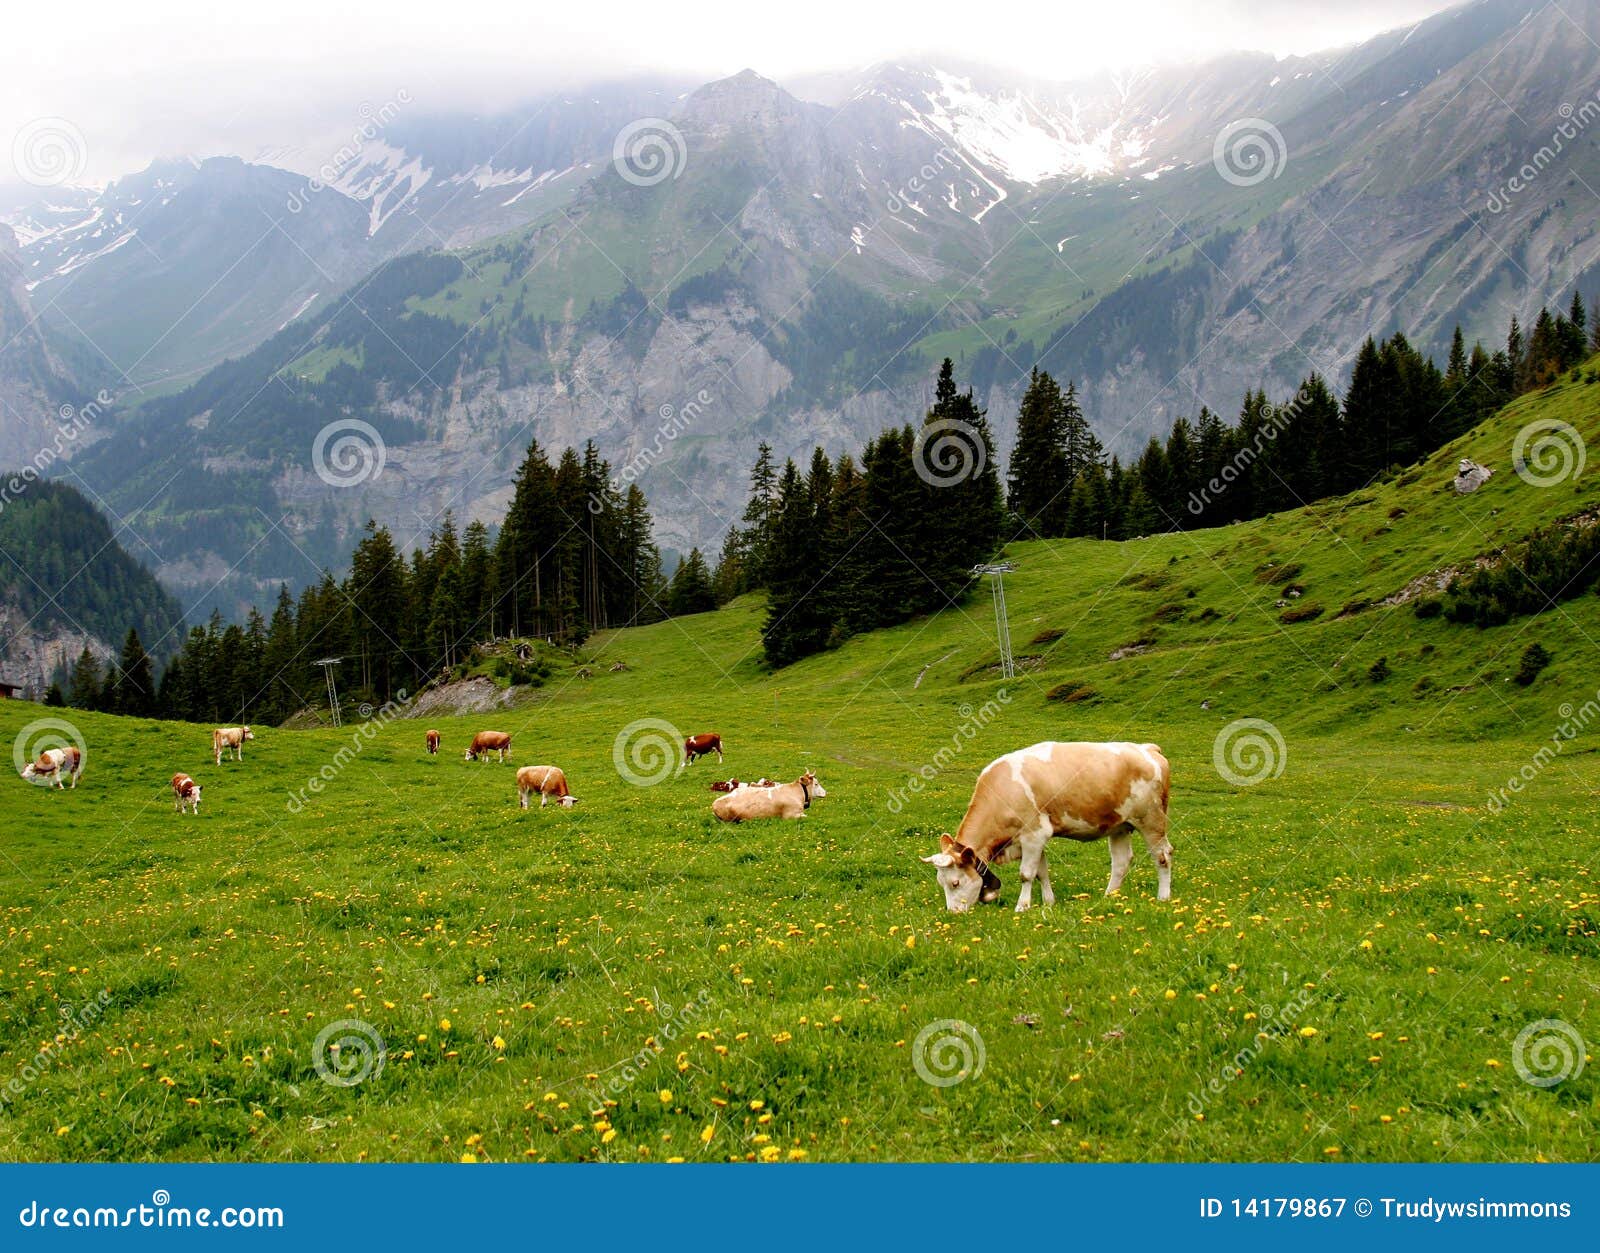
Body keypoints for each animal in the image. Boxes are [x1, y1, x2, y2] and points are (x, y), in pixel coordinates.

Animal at [922, 741, 1171, 914]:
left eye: (955, 882)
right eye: (940, 883)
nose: (953, 914)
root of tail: (1147, 748)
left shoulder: (1034, 835)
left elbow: (1026, 874)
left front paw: (1022, 907)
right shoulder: (1034, 839)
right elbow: (1041, 872)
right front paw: (1048, 902)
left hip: (1151, 820)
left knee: (1163, 856)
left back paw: (1164, 897)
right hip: (1119, 825)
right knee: (1121, 861)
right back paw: (1109, 896)